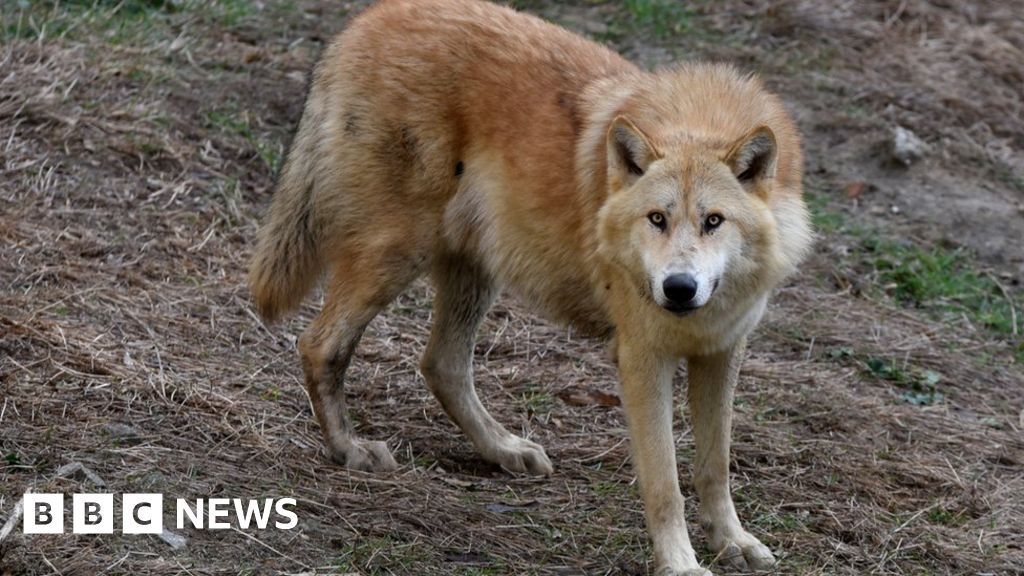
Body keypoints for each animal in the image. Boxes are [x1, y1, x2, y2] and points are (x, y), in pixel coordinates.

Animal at [249, 0, 812, 573]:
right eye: (657, 219)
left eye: (713, 221)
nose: (678, 288)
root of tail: (365, 21)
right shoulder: (642, 358)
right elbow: (664, 482)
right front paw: (680, 562)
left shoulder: (722, 350)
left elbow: (715, 465)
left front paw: (732, 541)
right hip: (396, 255)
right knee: (321, 345)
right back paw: (350, 450)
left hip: (473, 271)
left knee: (441, 365)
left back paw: (503, 451)